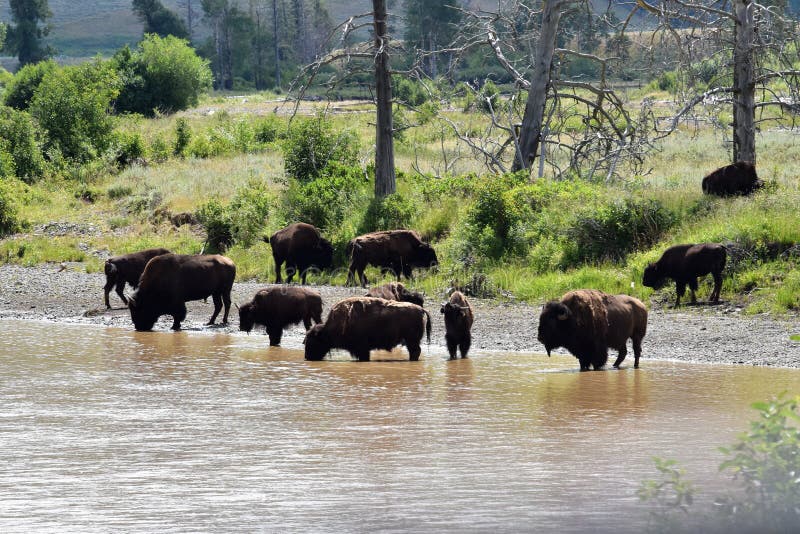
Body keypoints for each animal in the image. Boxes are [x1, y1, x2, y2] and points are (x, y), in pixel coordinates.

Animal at [304, 296, 432, 361]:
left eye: (311, 341)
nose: (307, 357)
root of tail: (421, 309)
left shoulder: (362, 349)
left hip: (411, 340)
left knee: (415, 351)